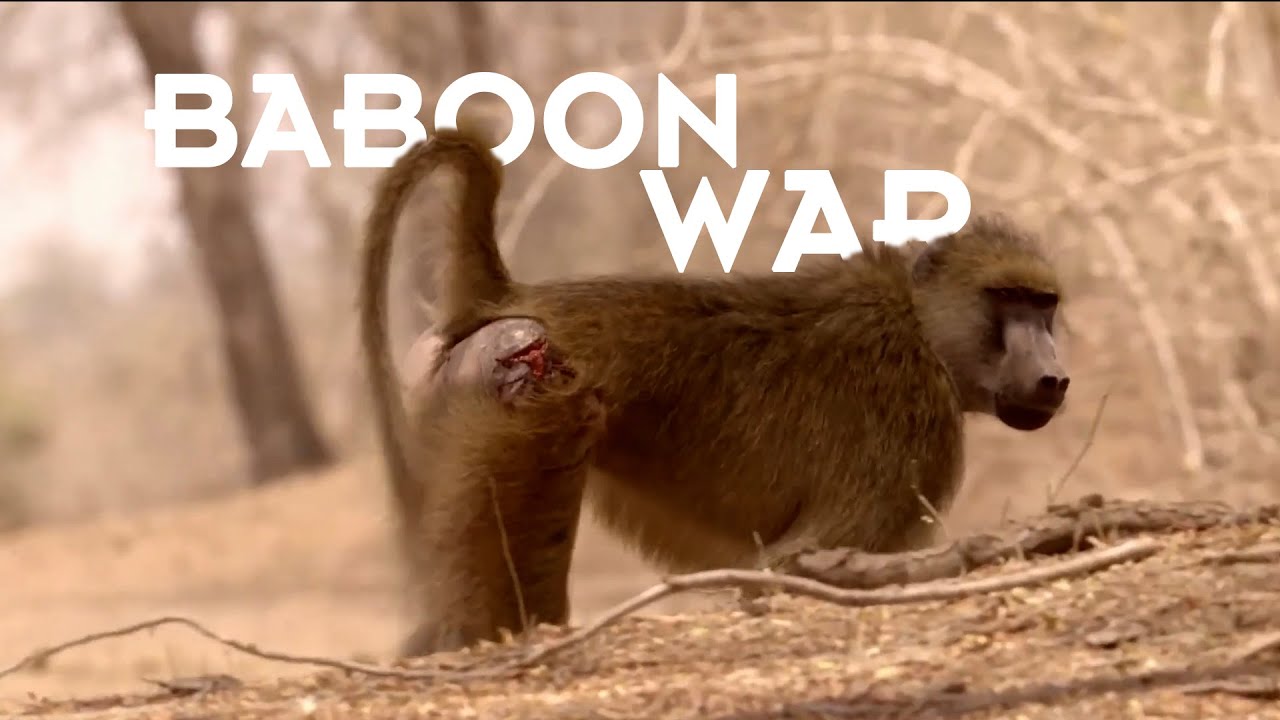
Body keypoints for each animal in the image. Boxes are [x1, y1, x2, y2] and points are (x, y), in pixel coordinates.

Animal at [359, 127, 1071, 657]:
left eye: (1044, 306)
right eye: (1007, 301)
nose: (1055, 377)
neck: (918, 321)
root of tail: (513, 299)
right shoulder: (911, 425)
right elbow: (787, 571)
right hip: (529, 400)